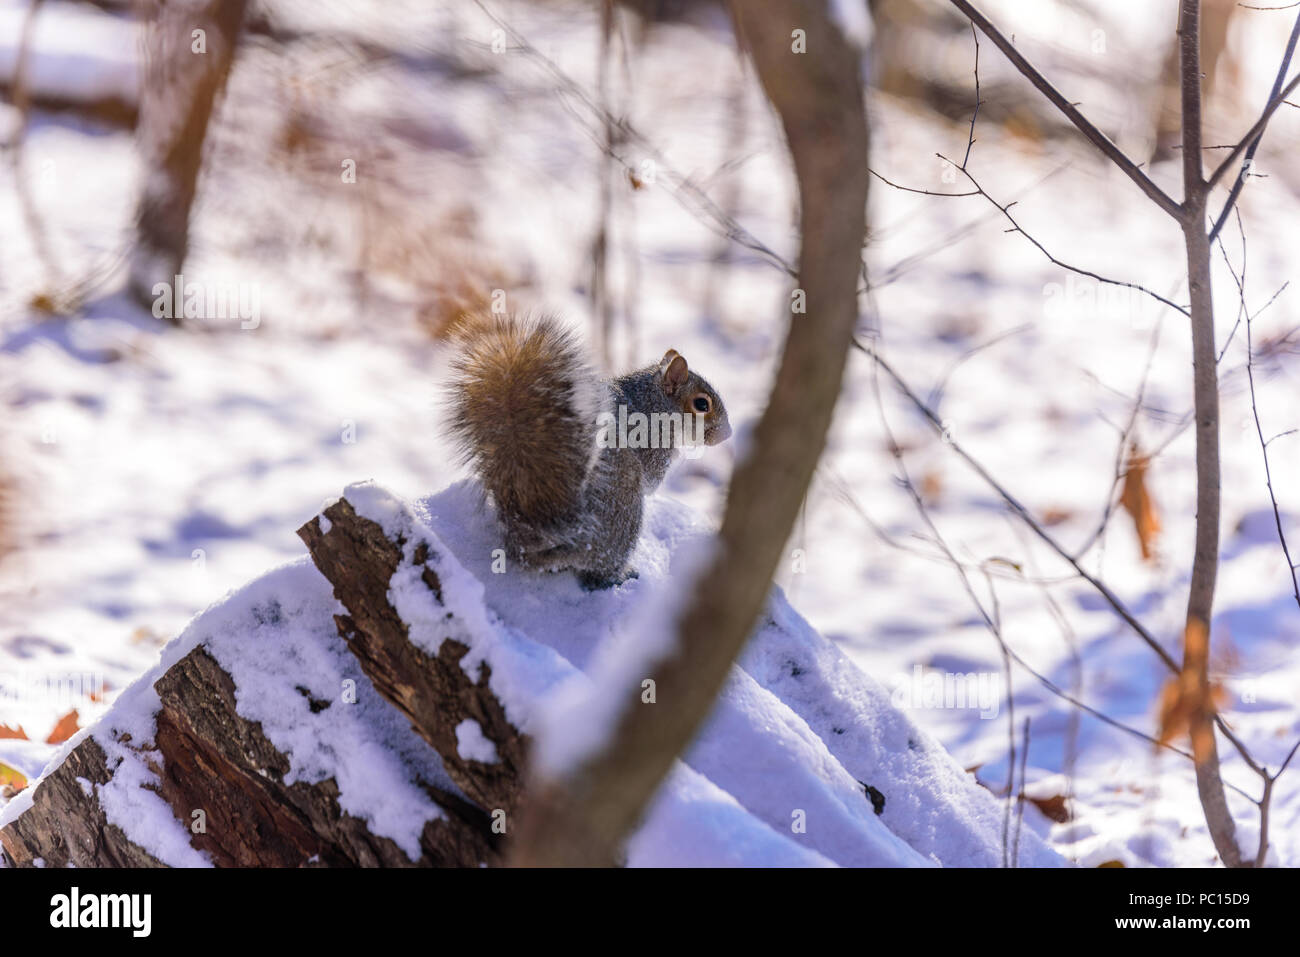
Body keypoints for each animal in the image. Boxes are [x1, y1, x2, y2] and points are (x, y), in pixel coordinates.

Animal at [445, 312, 732, 589]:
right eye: (702, 404)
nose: (728, 433)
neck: (653, 401)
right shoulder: (651, 445)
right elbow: (651, 481)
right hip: (622, 506)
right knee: (598, 570)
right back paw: (619, 576)